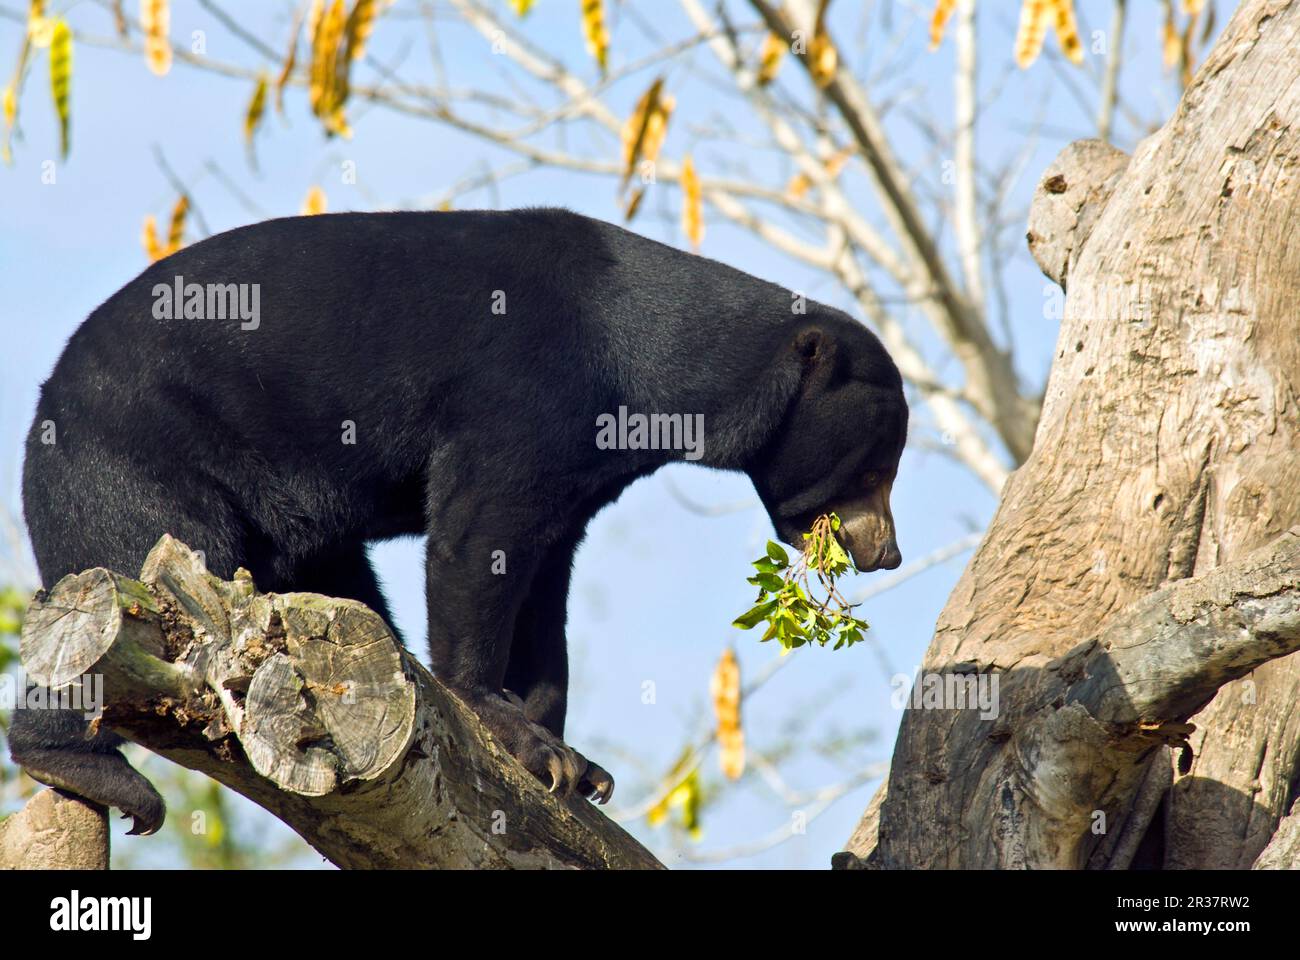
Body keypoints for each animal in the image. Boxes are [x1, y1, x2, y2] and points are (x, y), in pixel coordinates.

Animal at [11, 207, 907, 835]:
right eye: (876, 470)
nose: (885, 553)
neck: (645, 370)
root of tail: (44, 405)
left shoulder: (585, 465)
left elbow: (543, 578)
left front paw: (575, 759)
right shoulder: (524, 395)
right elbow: (481, 536)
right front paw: (524, 736)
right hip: (138, 462)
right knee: (129, 581)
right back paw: (87, 768)